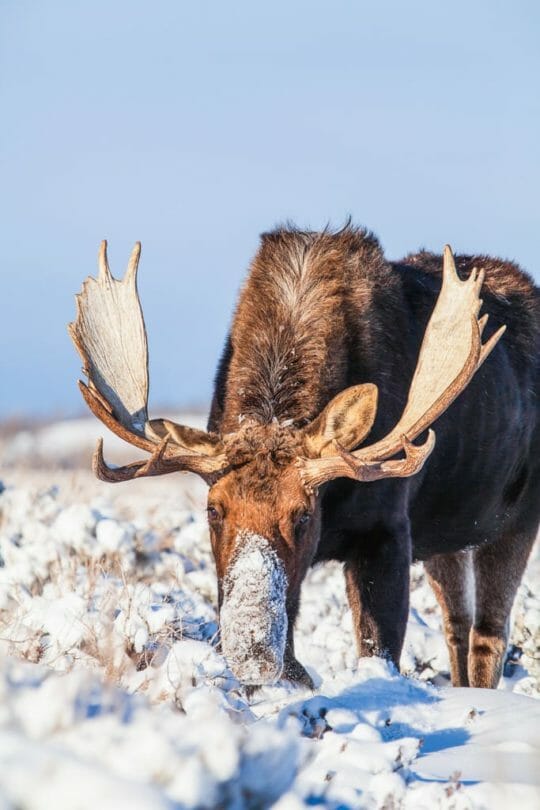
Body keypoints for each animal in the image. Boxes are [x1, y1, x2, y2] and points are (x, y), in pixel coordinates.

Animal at [69, 226, 539, 689]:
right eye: (213, 510)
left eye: (303, 514)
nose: (251, 654)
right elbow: (294, 651)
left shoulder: (387, 530)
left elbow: (379, 647)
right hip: (448, 538)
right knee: (456, 621)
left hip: (515, 522)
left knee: (490, 633)